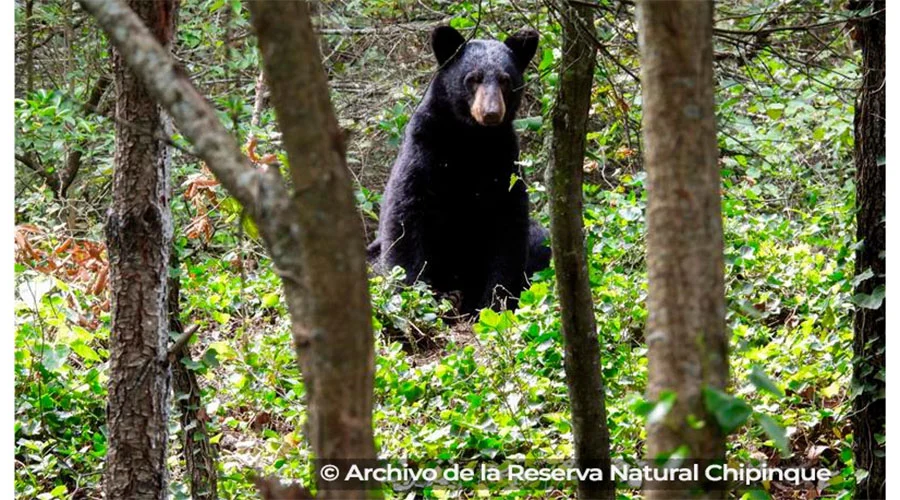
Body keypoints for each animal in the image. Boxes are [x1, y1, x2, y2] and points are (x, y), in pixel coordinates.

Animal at [368, 25, 551, 314]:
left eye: (505, 80)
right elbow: (406, 216)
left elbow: (508, 226)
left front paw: (492, 303)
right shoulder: (424, 149)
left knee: (540, 241)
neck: (470, 139)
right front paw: (411, 297)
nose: (491, 113)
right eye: (473, 78)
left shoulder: (504, 162)